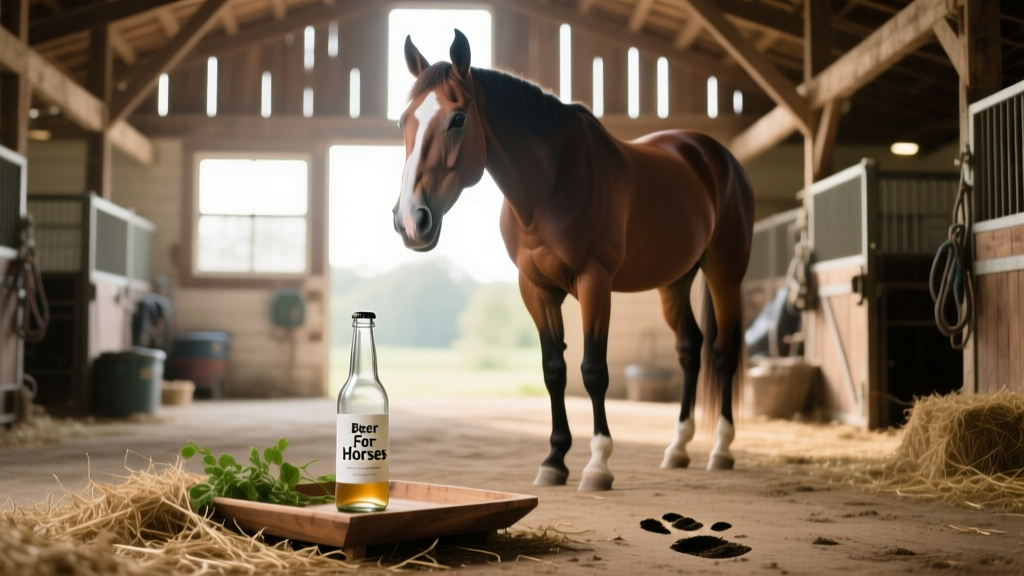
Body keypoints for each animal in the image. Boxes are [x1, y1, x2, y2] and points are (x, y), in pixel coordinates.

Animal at [393, 30, 754, 491]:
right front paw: (554, 460)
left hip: (725, 272)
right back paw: (677, 449)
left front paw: (598, 465)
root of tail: (717, 156)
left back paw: (721, 450)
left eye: (457, 119)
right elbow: (554, 370)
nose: (410, 220)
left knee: (723, 351)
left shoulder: (593, 282)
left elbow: (593, 369)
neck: (549, 186)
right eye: (404, 121)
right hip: (674, 280)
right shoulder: (536, 290)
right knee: (690, 348)